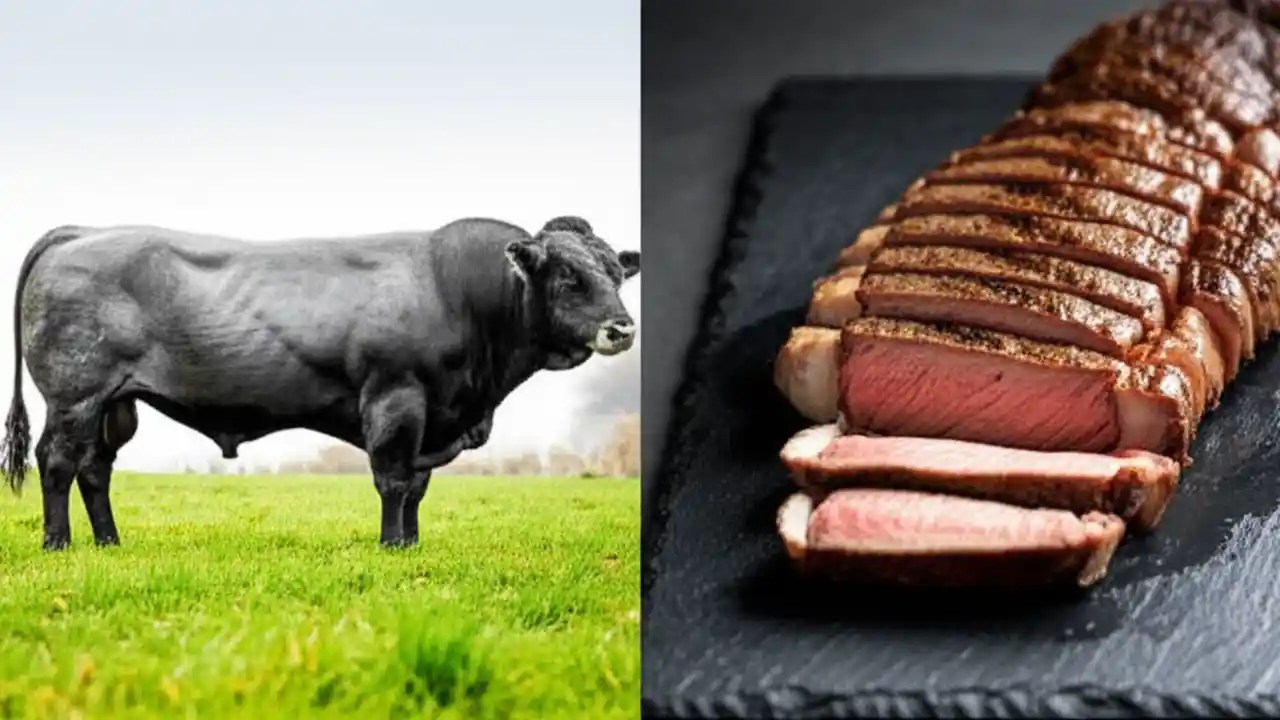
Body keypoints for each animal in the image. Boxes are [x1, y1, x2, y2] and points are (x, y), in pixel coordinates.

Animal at [0, 216, 640, 549]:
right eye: (568, 275)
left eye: (615, 273)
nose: (623, 328)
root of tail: (82, 231)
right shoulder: (396, 399)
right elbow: (393, 481)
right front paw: (391, 545)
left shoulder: (432, 417)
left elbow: (418, 487)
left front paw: (411, 544)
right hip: (75, 395)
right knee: (57, 462)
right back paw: (57, 542)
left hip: (116, 405)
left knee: (95, 467)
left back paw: (109, 541)